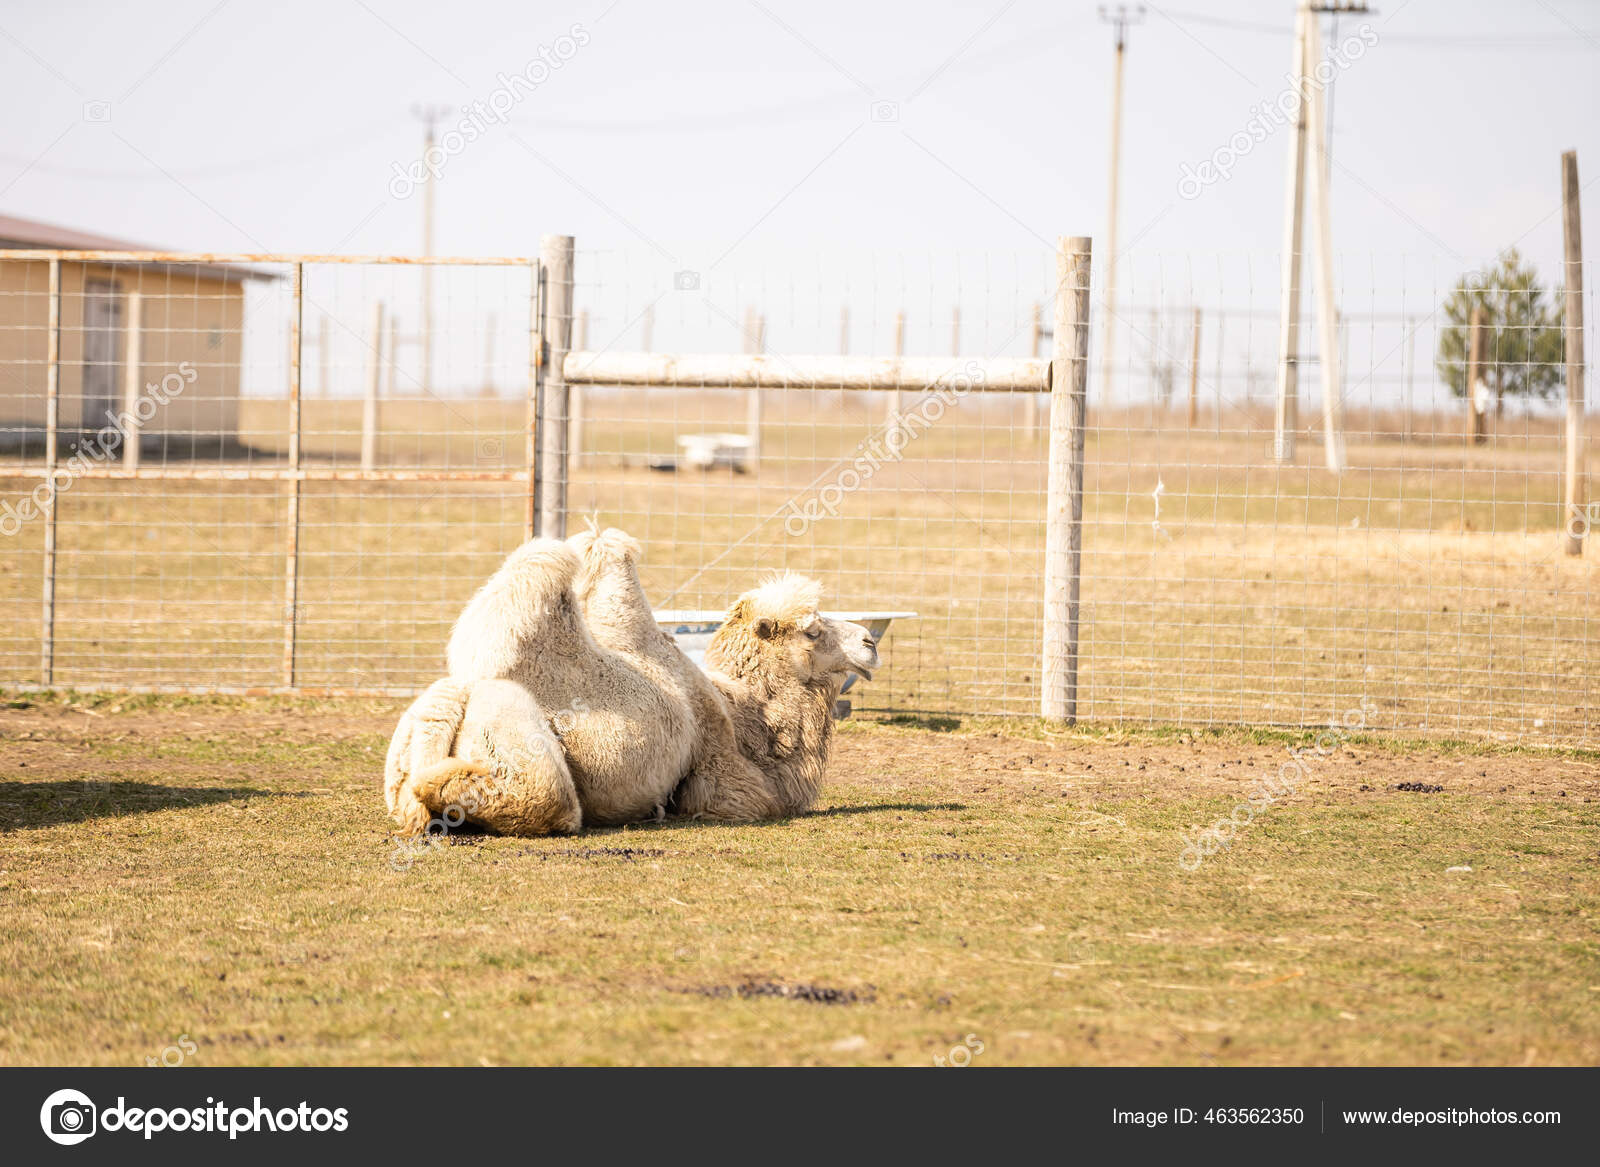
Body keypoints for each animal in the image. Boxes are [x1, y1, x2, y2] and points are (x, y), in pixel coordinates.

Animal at [384, 527, 878, 837]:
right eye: (811, 630)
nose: (870, 641)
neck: (743, 714)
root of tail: (462, 694)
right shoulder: (720, 773)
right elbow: (754, 801)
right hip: (517, 741)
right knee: (539, 798)